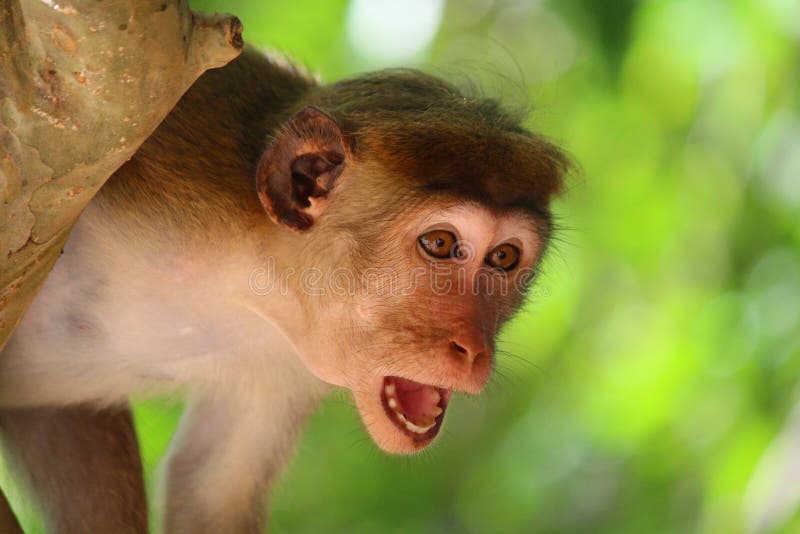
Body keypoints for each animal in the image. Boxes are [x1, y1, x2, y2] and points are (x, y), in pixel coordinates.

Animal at [0, 44, 569, 533]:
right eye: (441, 243)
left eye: (503, 257)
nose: (473, 348)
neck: (256, 277)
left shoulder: (287, 369)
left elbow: (212, 492)